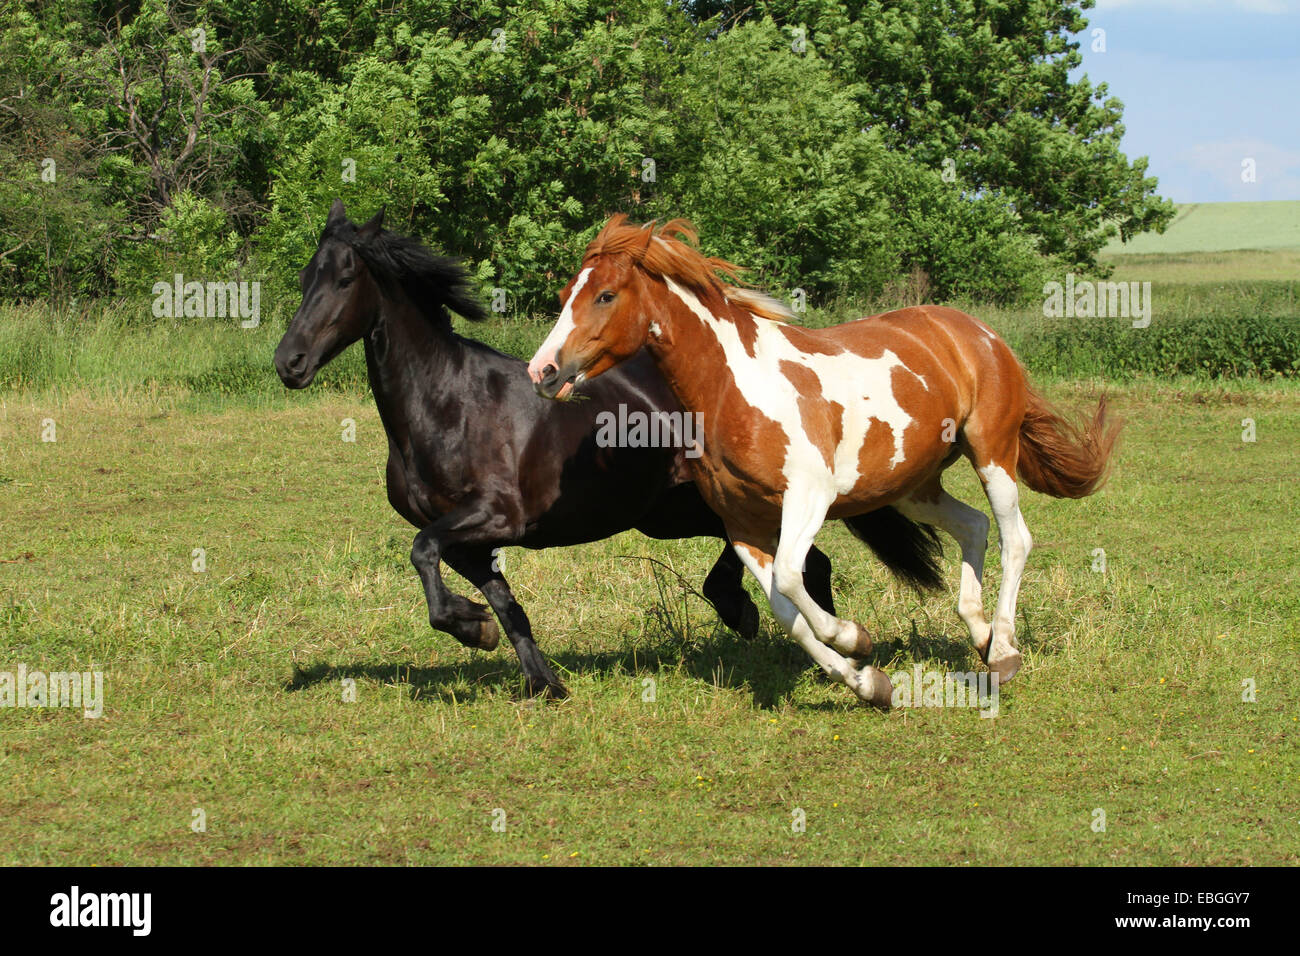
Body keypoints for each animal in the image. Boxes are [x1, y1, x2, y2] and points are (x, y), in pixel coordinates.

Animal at [273, 200, 947, 698]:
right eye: (305, 279)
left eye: (344, 278)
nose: (289, 363)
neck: (445, 406)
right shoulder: (474, 539)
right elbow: (498, 600)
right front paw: (532, 674)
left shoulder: (496, 516)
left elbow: (422, 552)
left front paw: (475, 631)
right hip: (670, 512)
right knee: (800, 563)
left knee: (793, 564)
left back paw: (799, 640)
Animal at [528, 215, 1121, 708]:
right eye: (564, 294)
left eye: (605, 295)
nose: (544, 371)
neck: (733, 388)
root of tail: (980, 333)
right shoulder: (742, 525)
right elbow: (784, 609)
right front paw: (869, 682)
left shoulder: (809, 497)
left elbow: (793, 581)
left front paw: (855, 638)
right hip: (913, 485)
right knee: (973, 526)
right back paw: (978, 634)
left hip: (992, 453)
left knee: (1014, 537)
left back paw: (1003, 652)